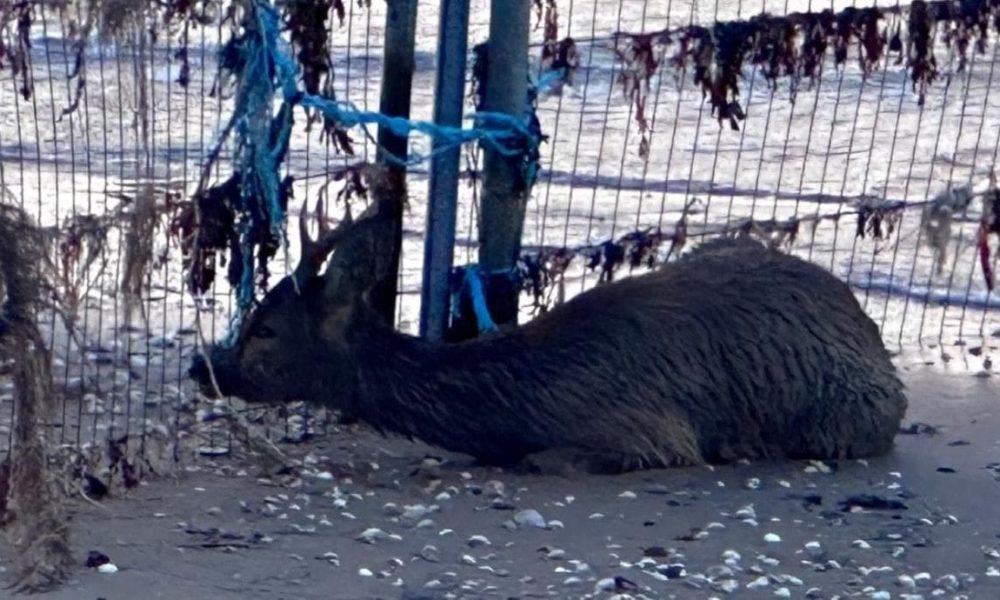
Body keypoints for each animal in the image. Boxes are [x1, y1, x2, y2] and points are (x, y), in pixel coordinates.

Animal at [188, 191, 908, 475]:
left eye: (266, 329)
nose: (204, 366)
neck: (532, 398)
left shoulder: (648, 431)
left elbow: (543, 460)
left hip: (852, 412)